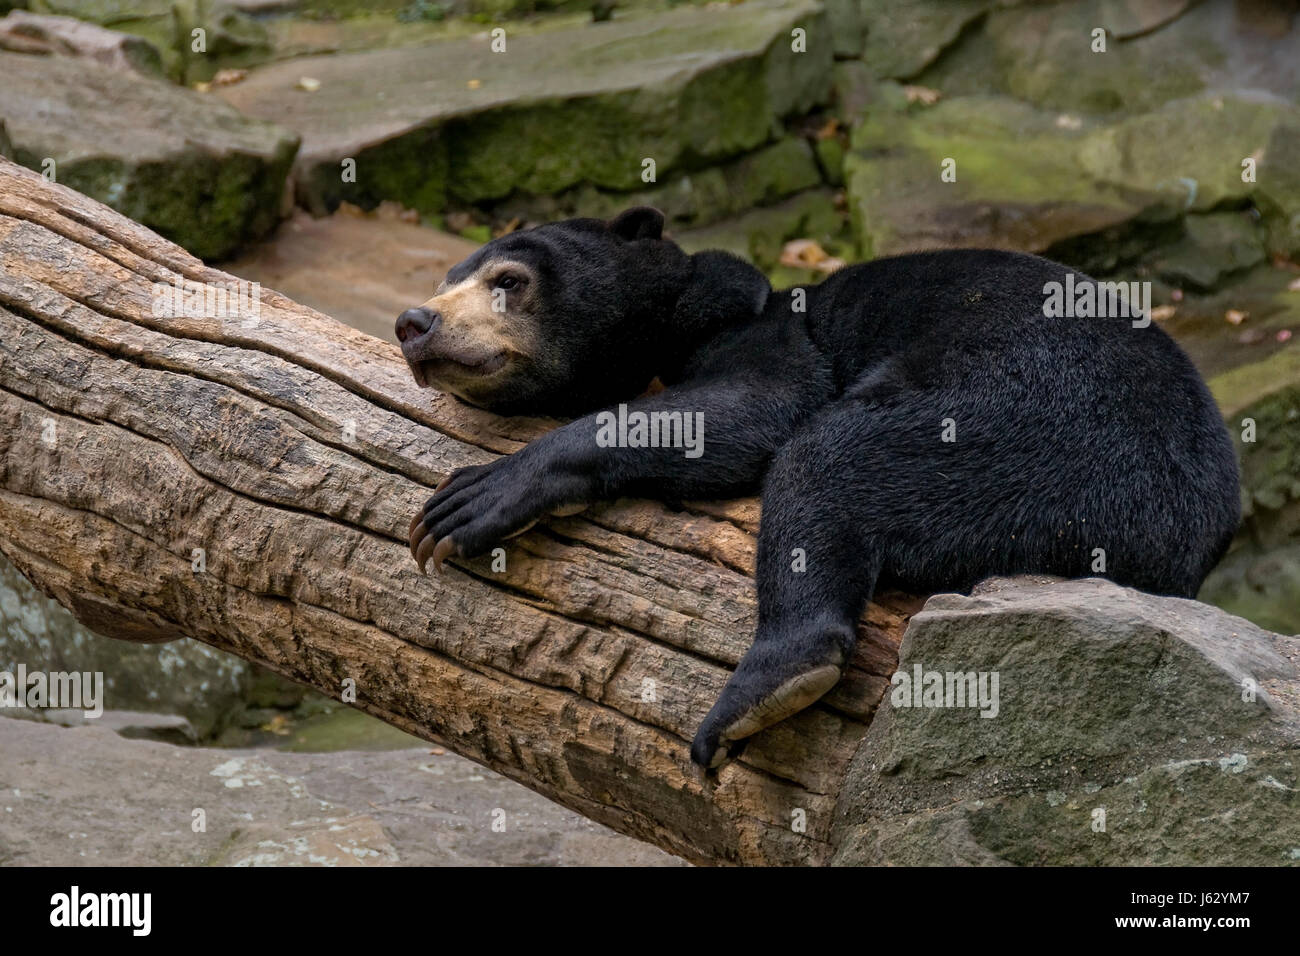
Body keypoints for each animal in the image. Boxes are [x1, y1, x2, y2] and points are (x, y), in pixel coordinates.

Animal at [395, 206, 1240, 769]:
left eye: (509, 281)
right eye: (443, 279)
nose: (413, 323)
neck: (669, 327)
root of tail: (1179, 536)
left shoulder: (771, 336)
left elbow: (748, 410)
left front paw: (470, 501)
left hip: (1024, 426)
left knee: (826, 464)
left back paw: (764, 689)